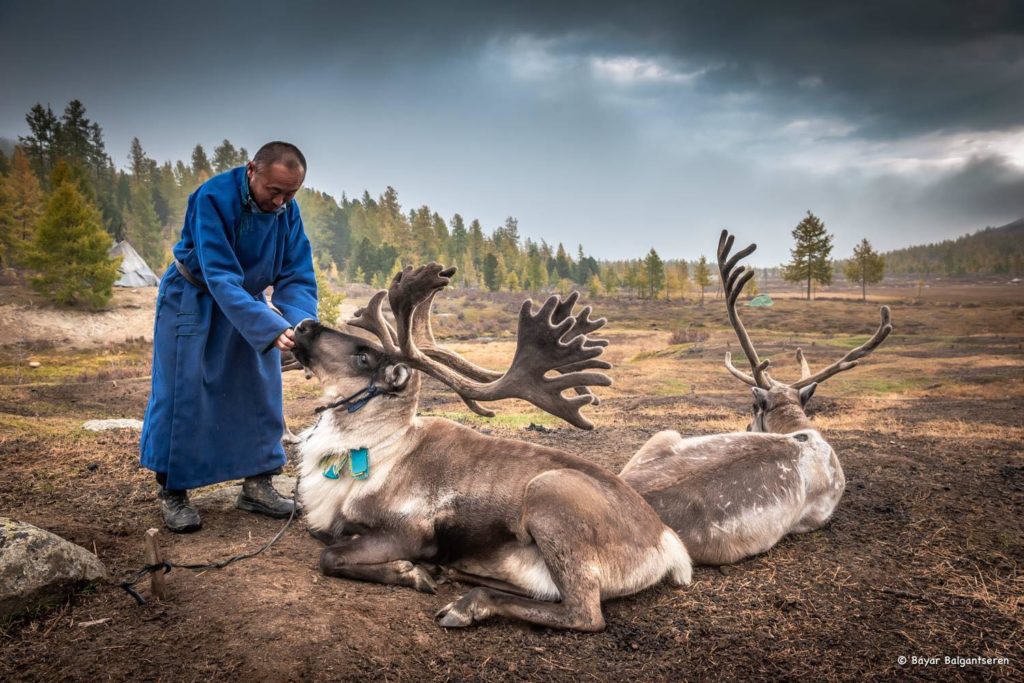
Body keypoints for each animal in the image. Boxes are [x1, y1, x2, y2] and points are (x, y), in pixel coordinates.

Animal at [289, 263, 691, 631]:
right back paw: (457, 576)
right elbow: (326, 536)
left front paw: (410, 572)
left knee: (584, 614)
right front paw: (420, 571)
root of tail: (667, 541)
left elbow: (330, 557)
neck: (373, 450)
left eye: (363, 357)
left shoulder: (409, 532)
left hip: (549, 495)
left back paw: (467, 605)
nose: (304, 326)